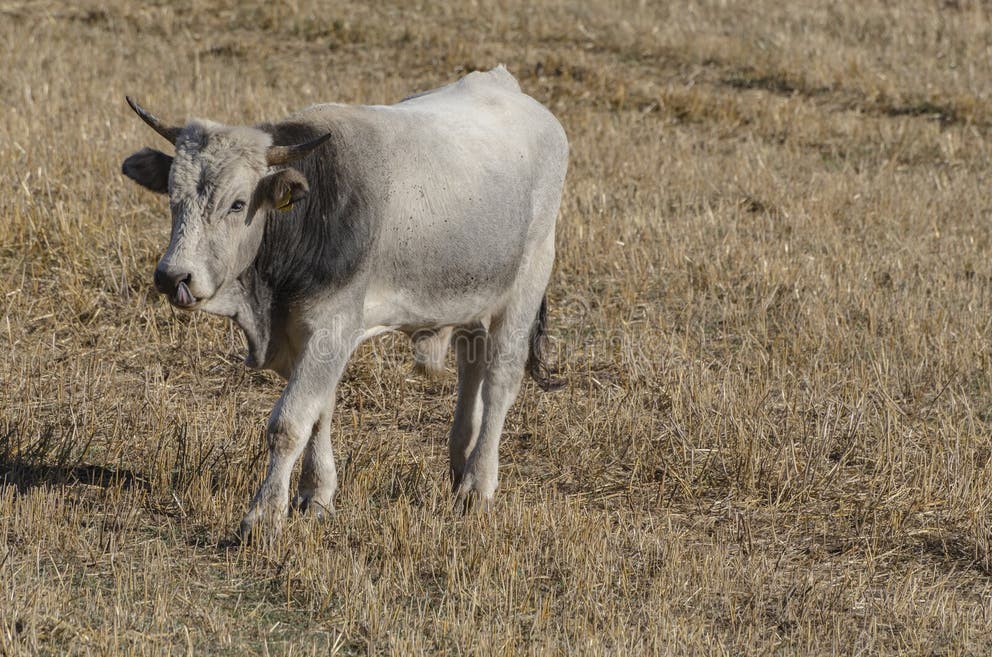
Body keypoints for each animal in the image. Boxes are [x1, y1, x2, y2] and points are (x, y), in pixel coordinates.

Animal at [121, 66, 568, 538]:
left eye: (237, 204)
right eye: (173, 199)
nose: (174, 276)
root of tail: (507, 86)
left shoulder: (332, 328)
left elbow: (289, 422)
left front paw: (264, 515)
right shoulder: (301, 336)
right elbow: (321, 410)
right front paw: (315, 494)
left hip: (527, 282)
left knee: (500, 380)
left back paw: (478, 485)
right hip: (473, 295)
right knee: (472, 367)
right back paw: (460, 464)